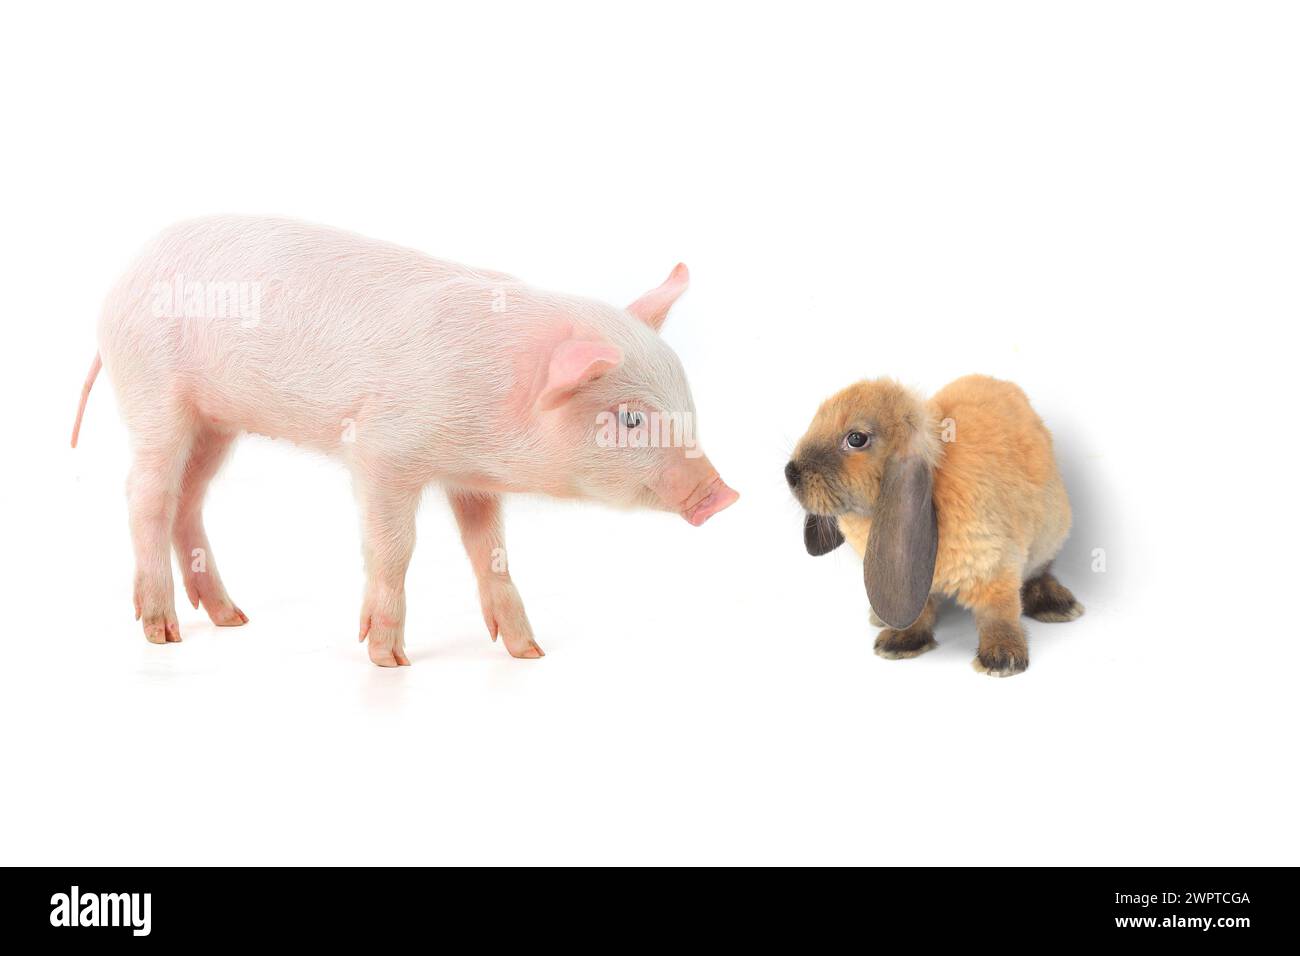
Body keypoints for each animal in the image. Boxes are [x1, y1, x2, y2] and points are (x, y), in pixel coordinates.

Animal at [72, 216, 738, 666]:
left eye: (686, 402)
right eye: (630, 420)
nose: (722, 494)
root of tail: (122, 278)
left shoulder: (471, 478)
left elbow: (489, 550)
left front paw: (529, 652)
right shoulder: (382, 451)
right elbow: (394, 549)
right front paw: (390, 659)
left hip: (215, 422)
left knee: (189, 500)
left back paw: (233, 620)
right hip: (154, 393)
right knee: (144, 493)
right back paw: (162, 633)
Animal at [784, 374, 1082, 677]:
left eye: (856, 438)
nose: (790, 473)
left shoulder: (996, 564)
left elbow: (1000, 610)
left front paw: (1002, 657)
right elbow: (922, 610)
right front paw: (900, 641)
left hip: (1050, 534)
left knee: (1039, 572)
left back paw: (1056, 605)